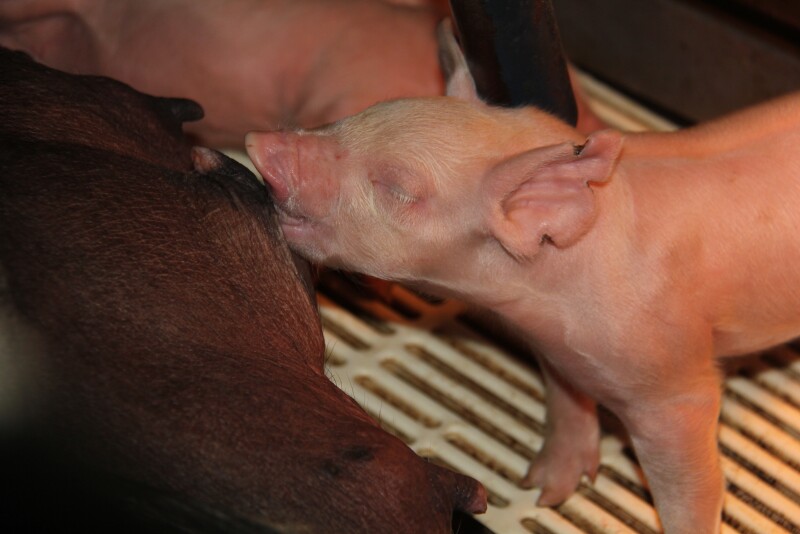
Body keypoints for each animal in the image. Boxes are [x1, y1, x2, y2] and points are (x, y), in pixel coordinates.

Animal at [245, 22, 800, 534]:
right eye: (361, 115)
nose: (259, 143)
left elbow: (692, 483)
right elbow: (566, 402)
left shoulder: (676, 383)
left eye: (400, 189)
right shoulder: (558, 352)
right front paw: (544, 490)